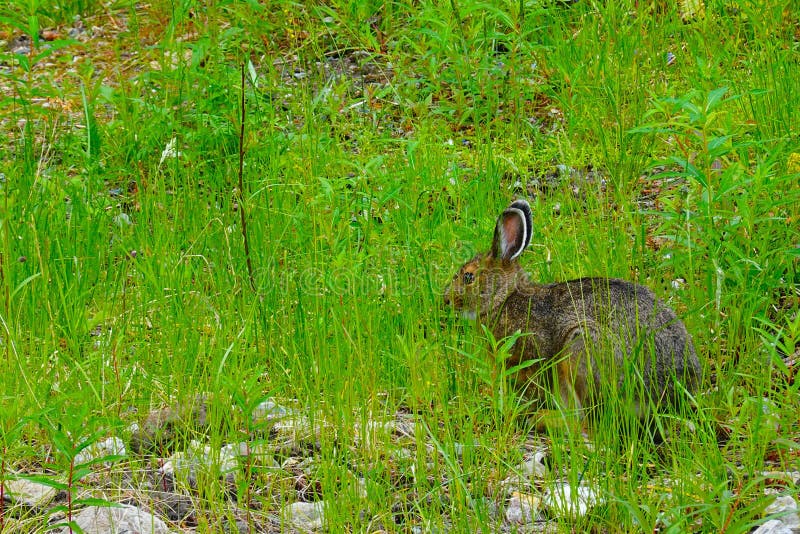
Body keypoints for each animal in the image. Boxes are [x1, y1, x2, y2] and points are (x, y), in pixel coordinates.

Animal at [444, 199, 701, 426]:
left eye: (468, 276)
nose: (446, 299)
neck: (505, 297)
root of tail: (672, 393)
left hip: (581, 350)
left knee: (585, 418)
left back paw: (541, 419)